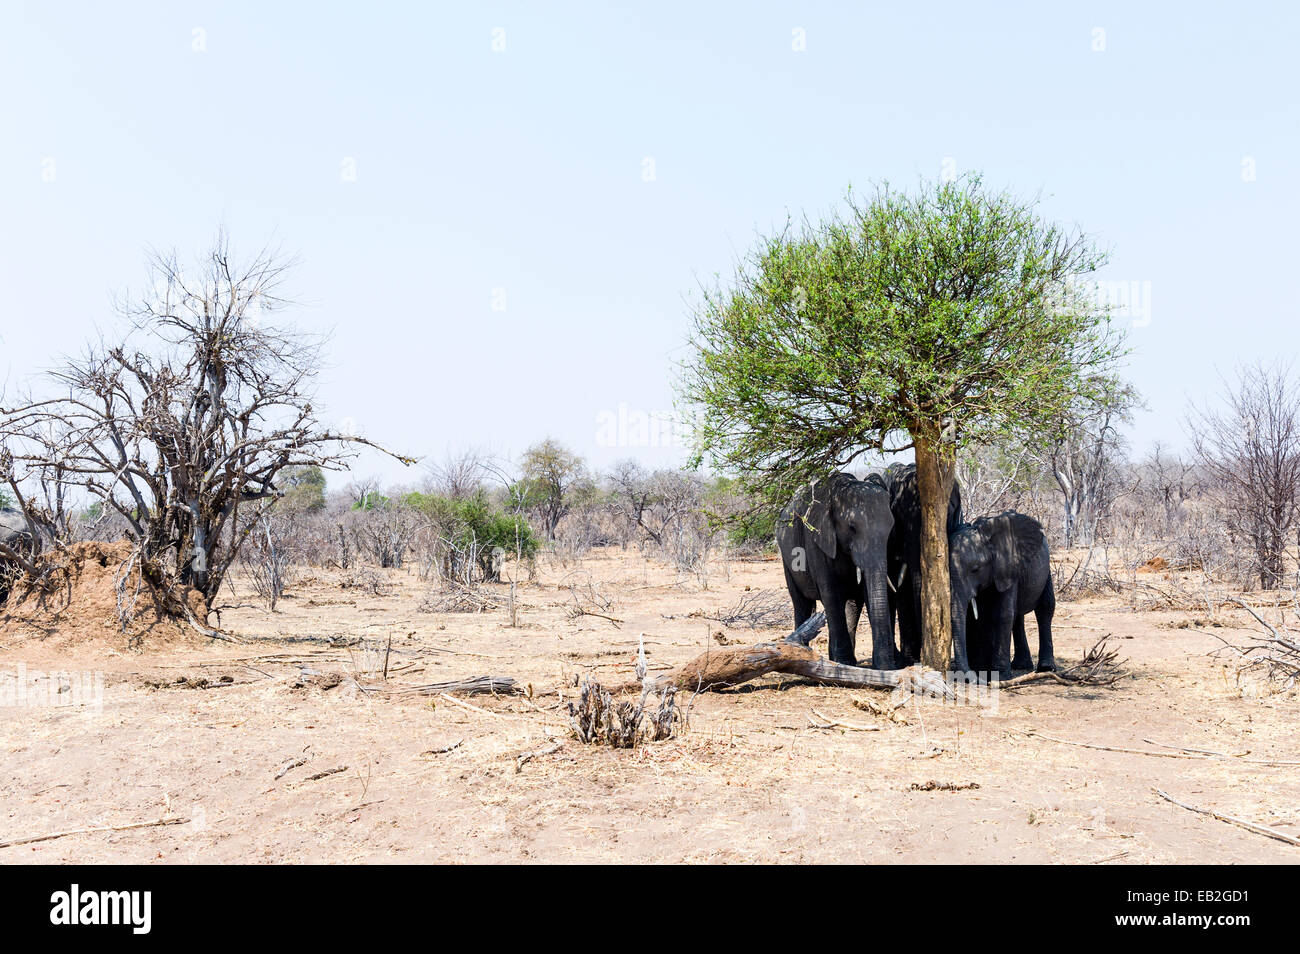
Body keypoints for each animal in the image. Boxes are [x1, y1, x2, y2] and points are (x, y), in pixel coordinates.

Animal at [776, 472, 897, 668]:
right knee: (802, 603)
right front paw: (844, 662)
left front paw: (883, 668)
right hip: (786, 558)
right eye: (852, 527)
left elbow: (866, 593)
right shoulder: (816, 539)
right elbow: (830, 593)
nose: (888, 666)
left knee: (851, 605)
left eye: (891, 528)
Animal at [947, 510, 1057, 679]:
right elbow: (973, 618)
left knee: (1045, 608)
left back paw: (1046, 668)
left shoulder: (1007, 568)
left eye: (975, 569)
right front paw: (981, 669)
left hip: (1046, 570)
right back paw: (1021, 665)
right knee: (1018, 617)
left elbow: (1002, 614)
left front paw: (999, 676)